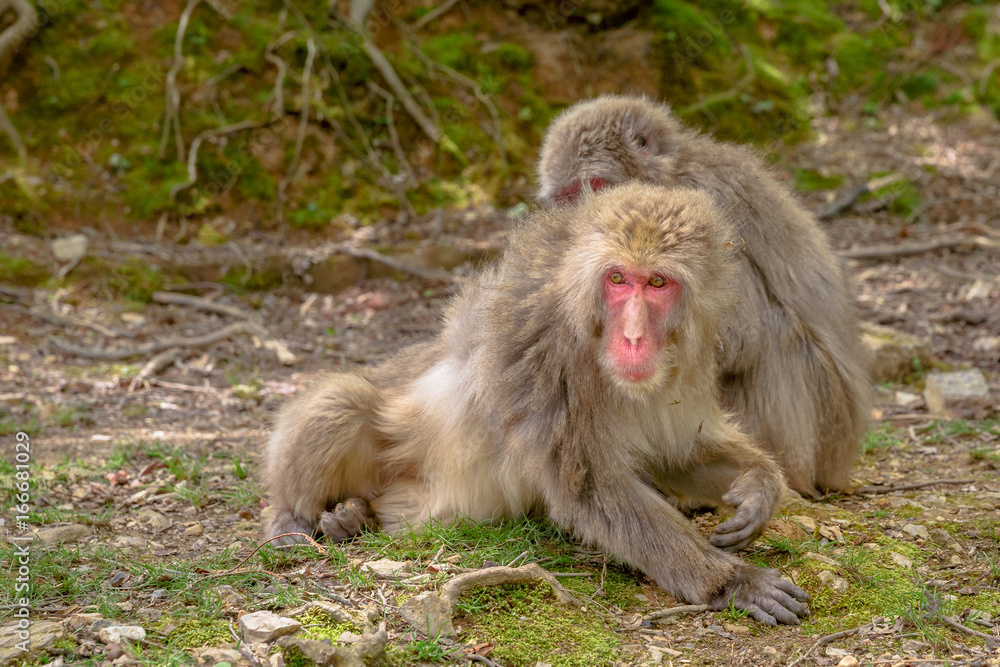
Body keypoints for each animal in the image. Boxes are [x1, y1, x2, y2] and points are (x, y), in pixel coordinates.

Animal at [262, 183, 809, 626]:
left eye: (657, 282)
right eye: (617, 279)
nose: (633, 337)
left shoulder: (686, 365)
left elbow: (674, 455)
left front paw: (759, 487)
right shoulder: (543, 349)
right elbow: (592, 490)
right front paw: (733, 582)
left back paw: (351, 517)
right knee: (344, 401)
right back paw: (294, 519)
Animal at [536, 95, 872, 496]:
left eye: (596, 185)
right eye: (566, 196)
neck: (668, 177)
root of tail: (839, 462)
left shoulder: (709, 211)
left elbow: (741, 340)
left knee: (775, 333)